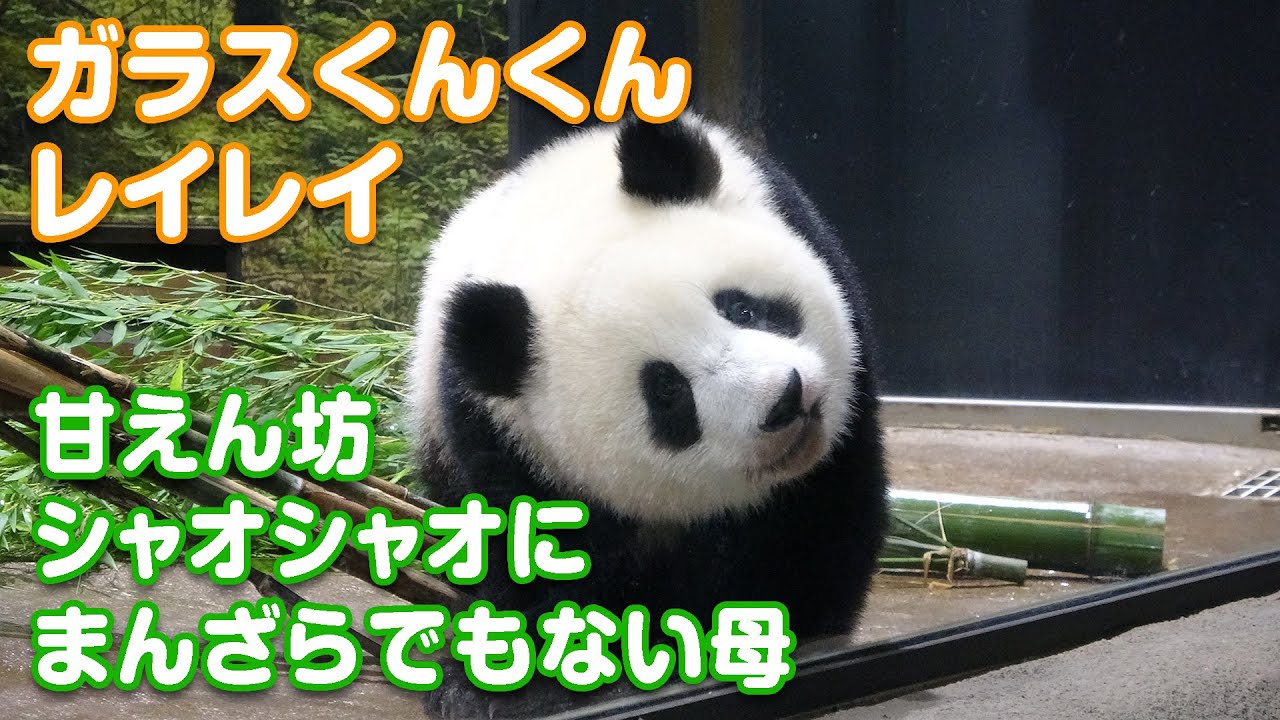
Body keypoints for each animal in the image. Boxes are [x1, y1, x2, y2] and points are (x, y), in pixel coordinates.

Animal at [407, 113, 889, 717]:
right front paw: (504, 681)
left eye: (742, 307)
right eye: (668, 393)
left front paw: (785, 625)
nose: (784, 400)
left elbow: (818, 519)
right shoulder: (496, 429)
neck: (552, 225)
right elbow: (537, 554)